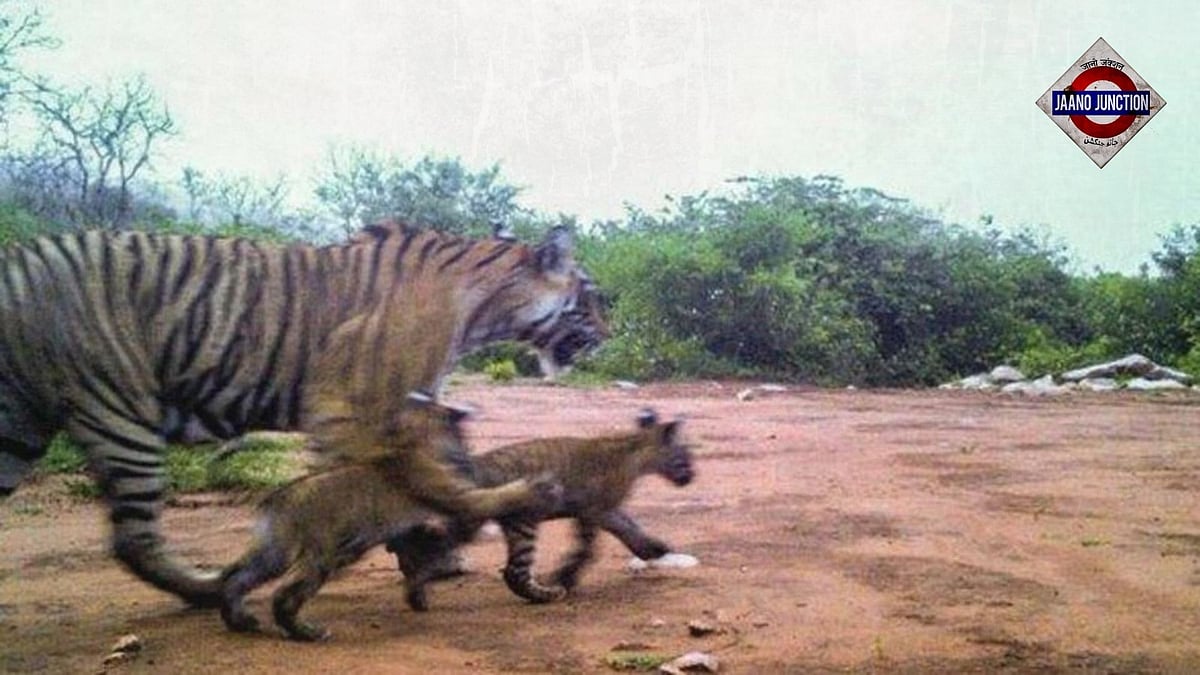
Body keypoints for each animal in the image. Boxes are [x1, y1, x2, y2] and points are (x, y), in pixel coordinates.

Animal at [0, 221, 606, 607]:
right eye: (591, 295)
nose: (610, 329)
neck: (484, 306)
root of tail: (19, 258)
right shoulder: (368, 408)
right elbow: (422, 485)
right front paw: (436, 547)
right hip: (117, 406)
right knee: (135, 539)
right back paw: (211, 586)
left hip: (19, 428)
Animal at [219, 392, 563, 641]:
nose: (466, 455)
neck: (412, 438)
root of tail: (278, 497)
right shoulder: (457, 496)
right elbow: (495, 495)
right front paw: (538, 486)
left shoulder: (420, 525)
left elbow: (421, 560)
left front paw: (419, 595)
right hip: (321, 554)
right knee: (282, 594)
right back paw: (307, 632)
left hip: (272, 554)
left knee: (234, 579)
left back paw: (241, 621)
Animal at [390, 409, 695, 611]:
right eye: (686, 455)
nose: (693, 476)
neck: (636, 452)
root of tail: (476, 465)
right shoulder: (594, 510)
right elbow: (589, 548)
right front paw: (566, 576)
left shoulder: (605, 509)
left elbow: (628, 527)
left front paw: (652, 548)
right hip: (522, 522)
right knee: (513, 572)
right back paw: (547, 594)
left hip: (475, 521)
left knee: (437, 546)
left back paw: (415, 593)